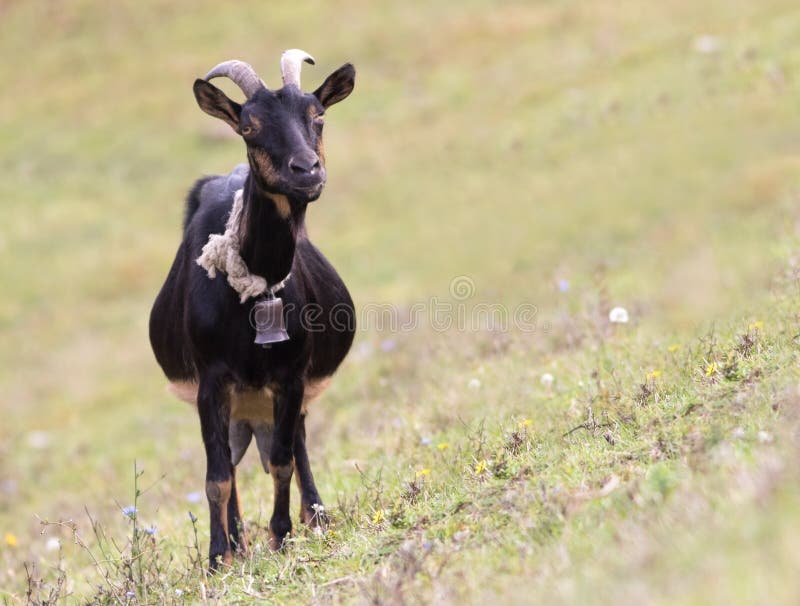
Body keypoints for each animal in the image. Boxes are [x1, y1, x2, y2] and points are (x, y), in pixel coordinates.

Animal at [149, 50, 356, 569]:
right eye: (248, 126)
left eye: (318, 116)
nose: (307, 171)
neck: (256, 290)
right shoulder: (210, 380)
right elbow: (217, 476)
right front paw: (218, 557)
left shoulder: (292, 375)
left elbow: (282, 459)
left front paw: (281, 536)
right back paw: (240, 542)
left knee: (295, 443)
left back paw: (315, 518)